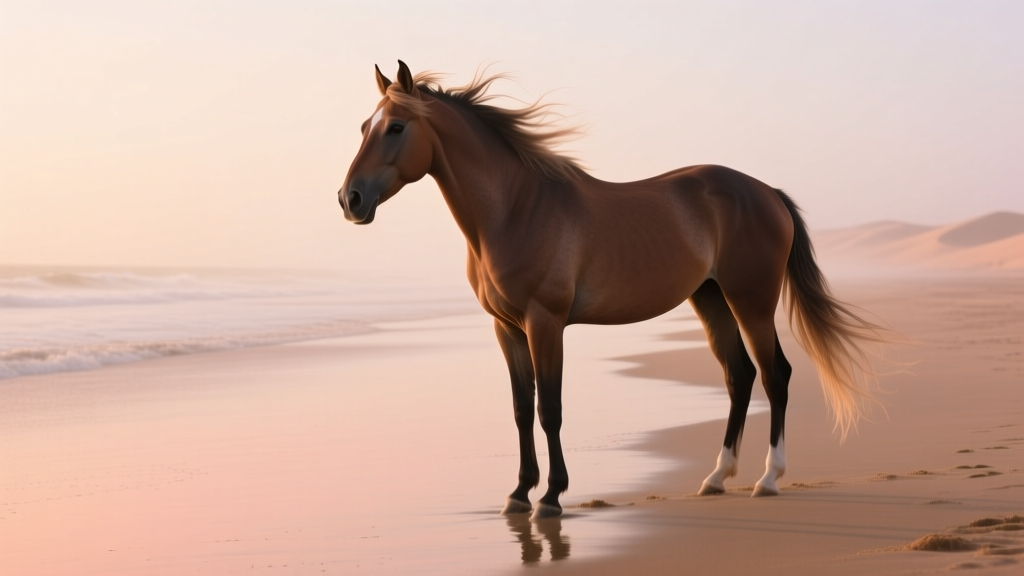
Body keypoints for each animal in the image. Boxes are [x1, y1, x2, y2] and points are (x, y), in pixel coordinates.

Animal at [338, 60, 885, 520]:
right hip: (710, 299)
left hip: (750, 301)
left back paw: (768, 479)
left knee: (775, 375)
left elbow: (550, 409)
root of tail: (767, 192)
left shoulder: (545, 323)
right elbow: (520, 411)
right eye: (365, 127)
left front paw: (551, 497)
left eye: (397, 127)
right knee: (739, 376)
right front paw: (518, 494)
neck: (515, 210)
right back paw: (716, 477)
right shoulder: (506, 329)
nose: (350, 199)